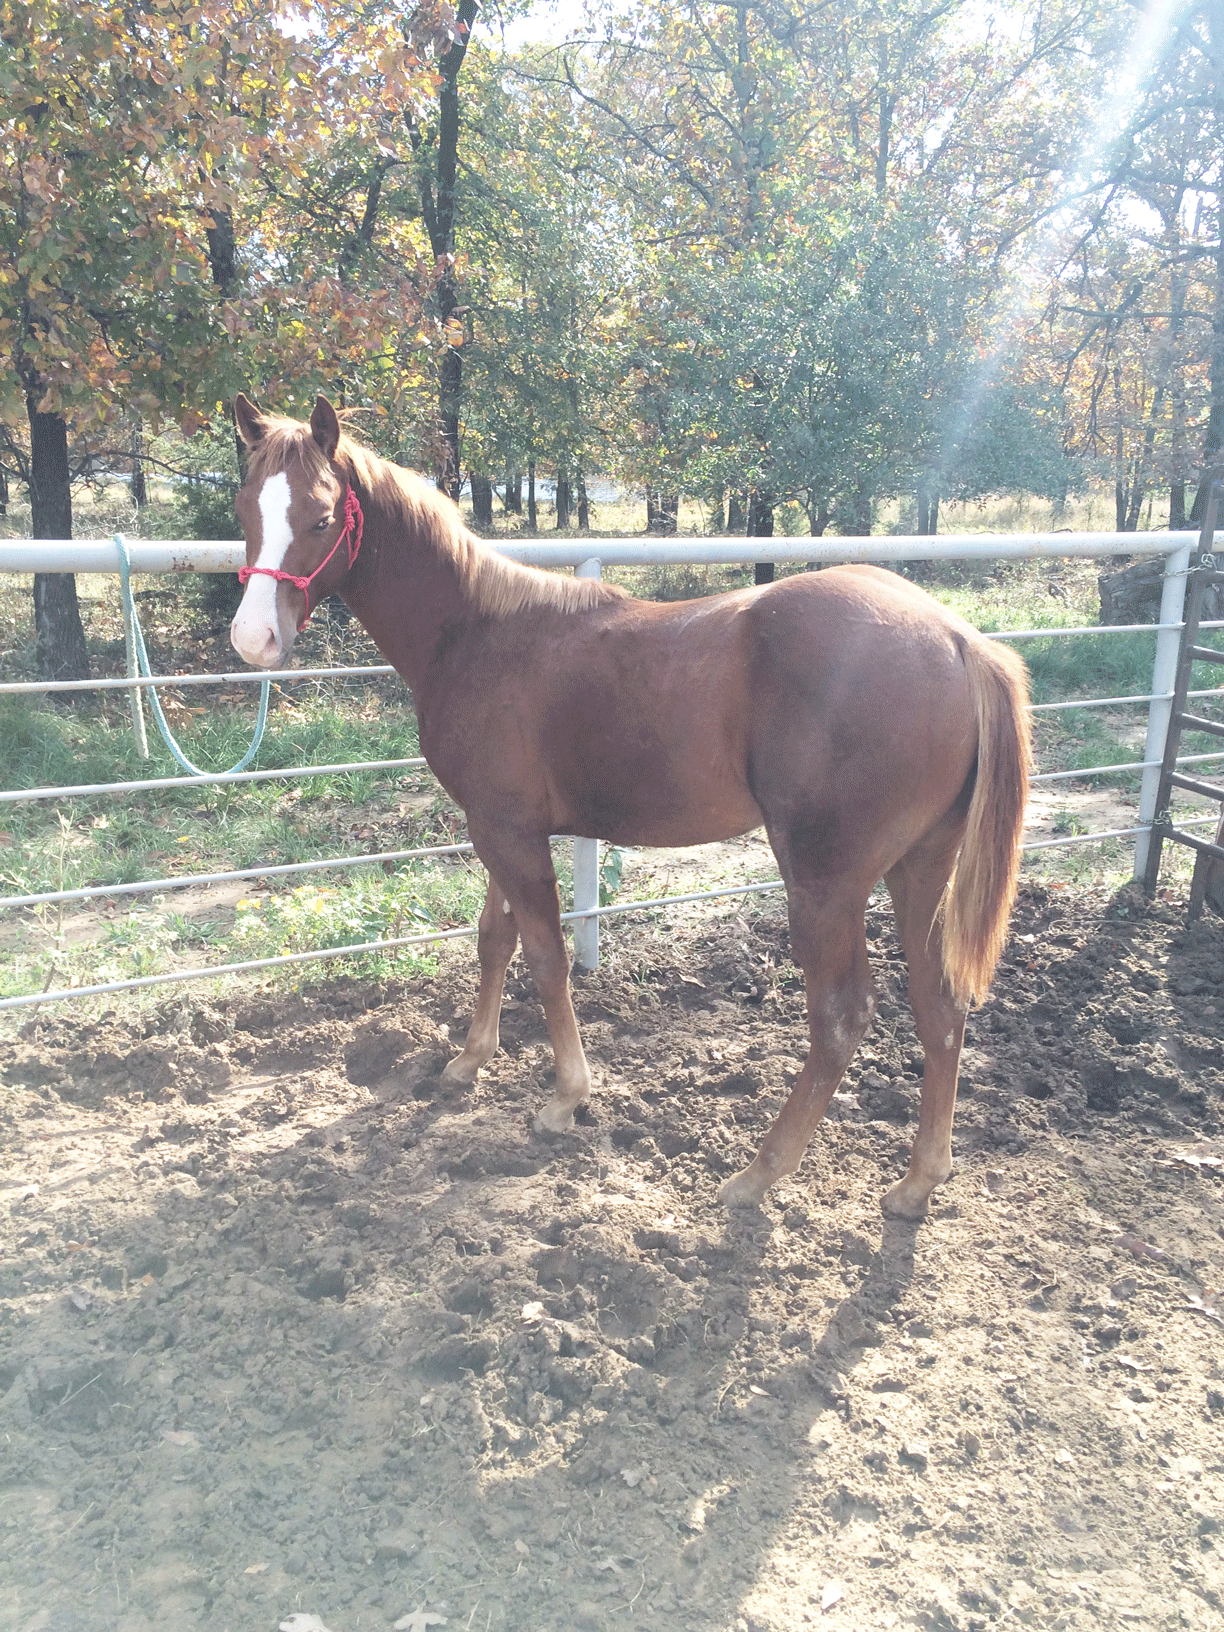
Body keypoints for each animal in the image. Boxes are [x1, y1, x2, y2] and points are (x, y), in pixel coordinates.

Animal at [229, 392, 1031, 1219]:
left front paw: (565, 1098)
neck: (478, 633)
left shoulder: (509, 834)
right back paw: (917, 1180)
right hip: (920, 868)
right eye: (244, 507)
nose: (253, 639)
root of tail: (960, 641)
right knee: (941, 1006)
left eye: (322, 517)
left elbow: (546, 958)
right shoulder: (495, 827)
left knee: (840, 1018)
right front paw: (470, 1060)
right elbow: (494, 940)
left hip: (826, 883)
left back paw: (760, 1172)